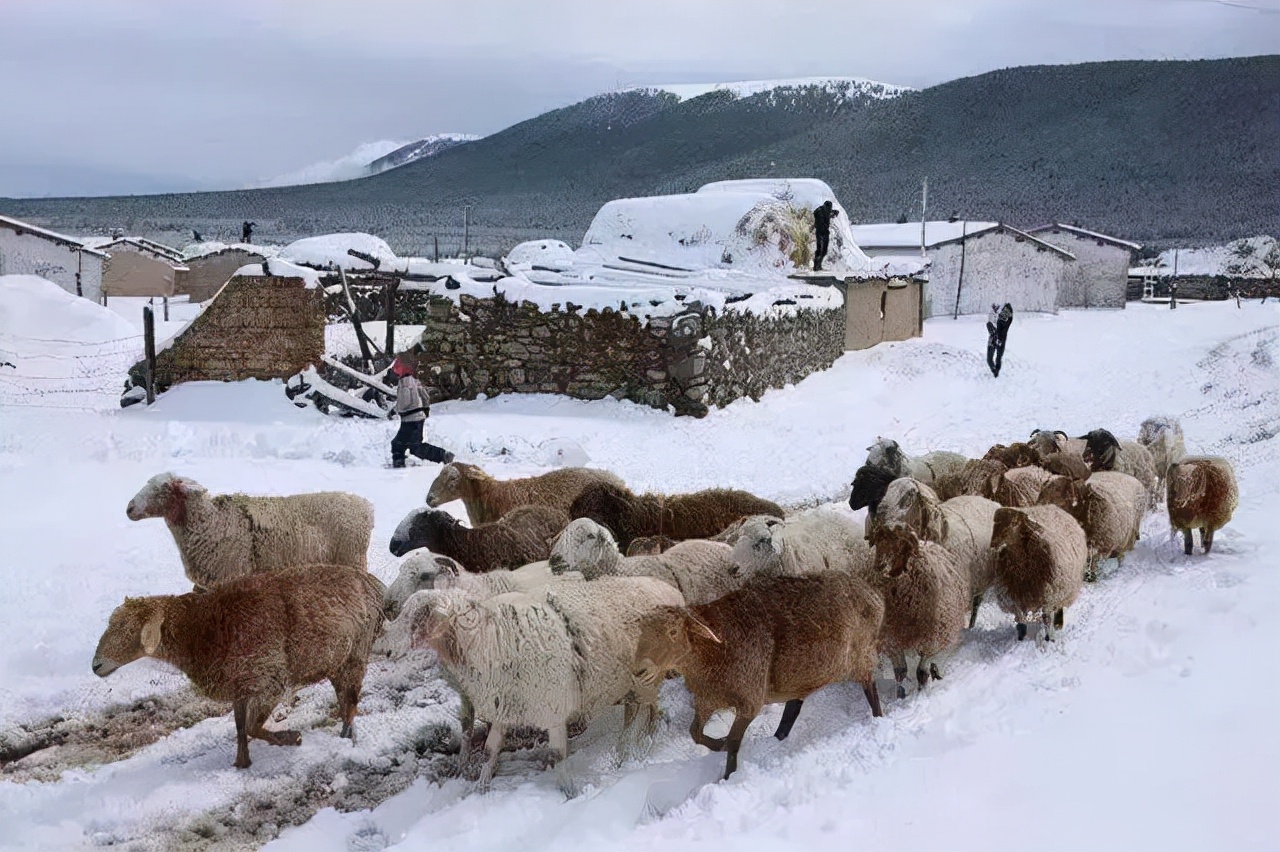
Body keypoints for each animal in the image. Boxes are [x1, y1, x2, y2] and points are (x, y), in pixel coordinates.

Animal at [91, 565, 384, 769]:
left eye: (127, 627)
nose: (95, 666)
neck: (202, 629)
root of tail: (372, 582)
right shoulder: (239, 684)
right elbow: (241, 726)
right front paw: (242, 762)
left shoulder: (270, 679)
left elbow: (253, 727)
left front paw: (291, 738)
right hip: (339, 660)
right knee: (346, 702)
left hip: (356, 653)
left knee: (350, 704)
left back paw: (346, 741)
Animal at [125, 473, 374, 592]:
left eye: (164, 489)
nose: (129, 508)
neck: (210, 522)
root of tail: (365, 506)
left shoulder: (232, 574)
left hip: (351, 556)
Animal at [633, 572, 885, 780]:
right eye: (642, 633)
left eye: (673, 632)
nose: (639, 671)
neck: (715, 648)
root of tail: (873, 592)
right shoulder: (708, 698)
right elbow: (695, 733)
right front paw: (719, 745)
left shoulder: (750, 699)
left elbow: (734, 741)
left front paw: (728, 776)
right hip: (800, 675)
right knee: (793, 707)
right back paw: (778, 738)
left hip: (862, 654)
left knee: (871, 689)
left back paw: (879, 719)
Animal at [869, 527, 970, 698]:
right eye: (878, 544)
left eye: (899, 546)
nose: (879, 566)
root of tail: (929, 543)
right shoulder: (891, 638)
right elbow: (900, 672)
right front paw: (900, 696)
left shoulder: (932, 639)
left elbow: (921, 672)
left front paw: (921, 693)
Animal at [990, 505, 1088, 642]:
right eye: (995, 522)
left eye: (1015, 522)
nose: (993, 544)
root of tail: (1055, 507)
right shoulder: (1014, 596)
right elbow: (1020, 620)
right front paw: (1021, 637)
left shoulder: (1048, 596)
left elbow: (1047, 620)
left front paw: (1049, 638)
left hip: (1062, 590)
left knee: (1057, 610)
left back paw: (1057, 625)